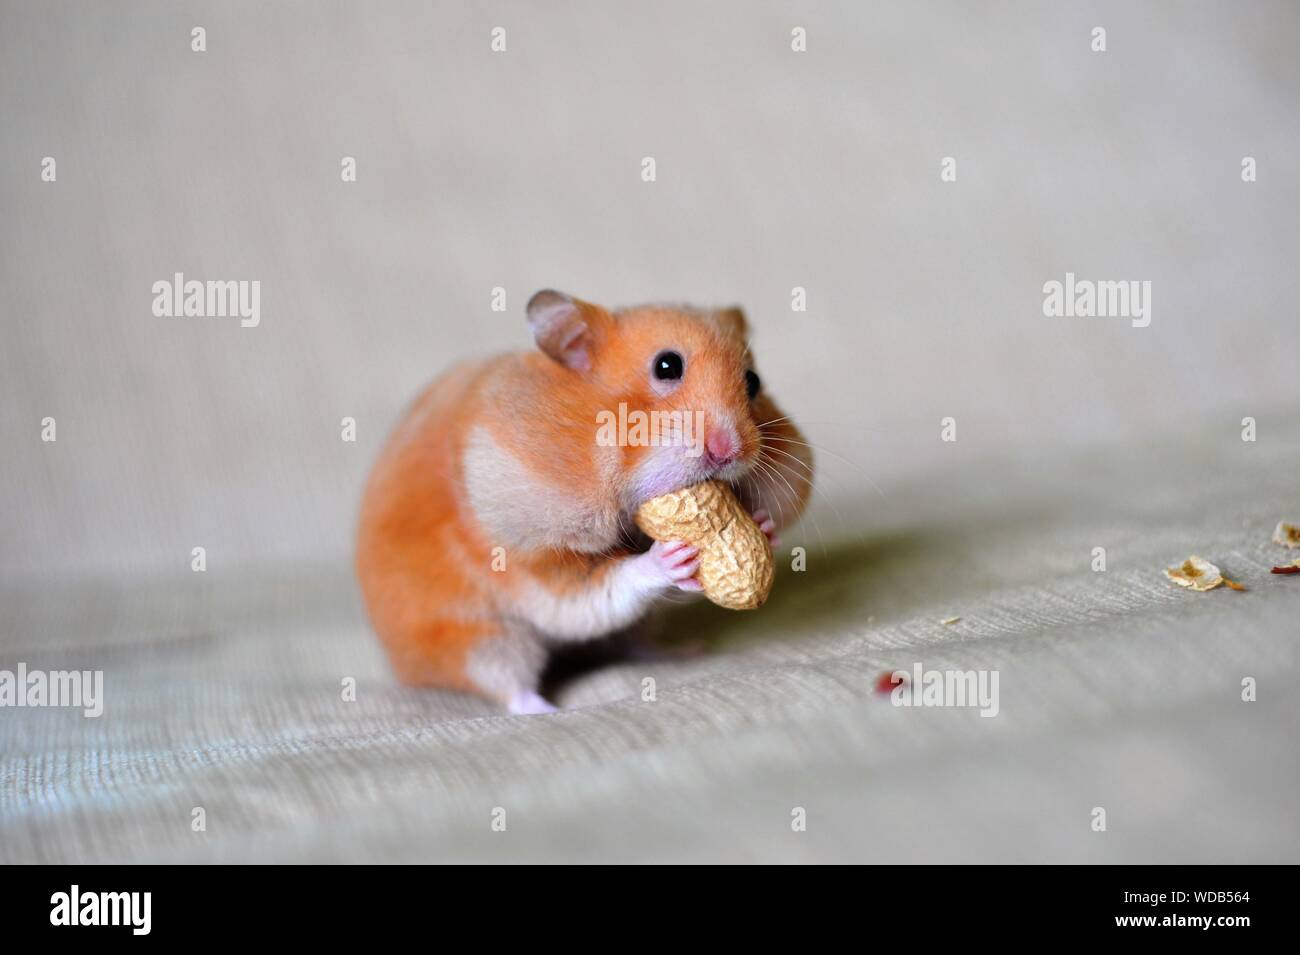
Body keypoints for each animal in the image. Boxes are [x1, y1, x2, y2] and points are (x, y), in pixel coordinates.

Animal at [355, 290, 812, 714]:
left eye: (753, 382)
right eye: (667, 366)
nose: (728, 451)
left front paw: (764, 527)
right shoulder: (533, 564)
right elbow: (599, 591)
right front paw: (668, 558)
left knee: (633, 643)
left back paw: (684, 651)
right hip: (482, 639)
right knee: (509, 685)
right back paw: (549, 709)